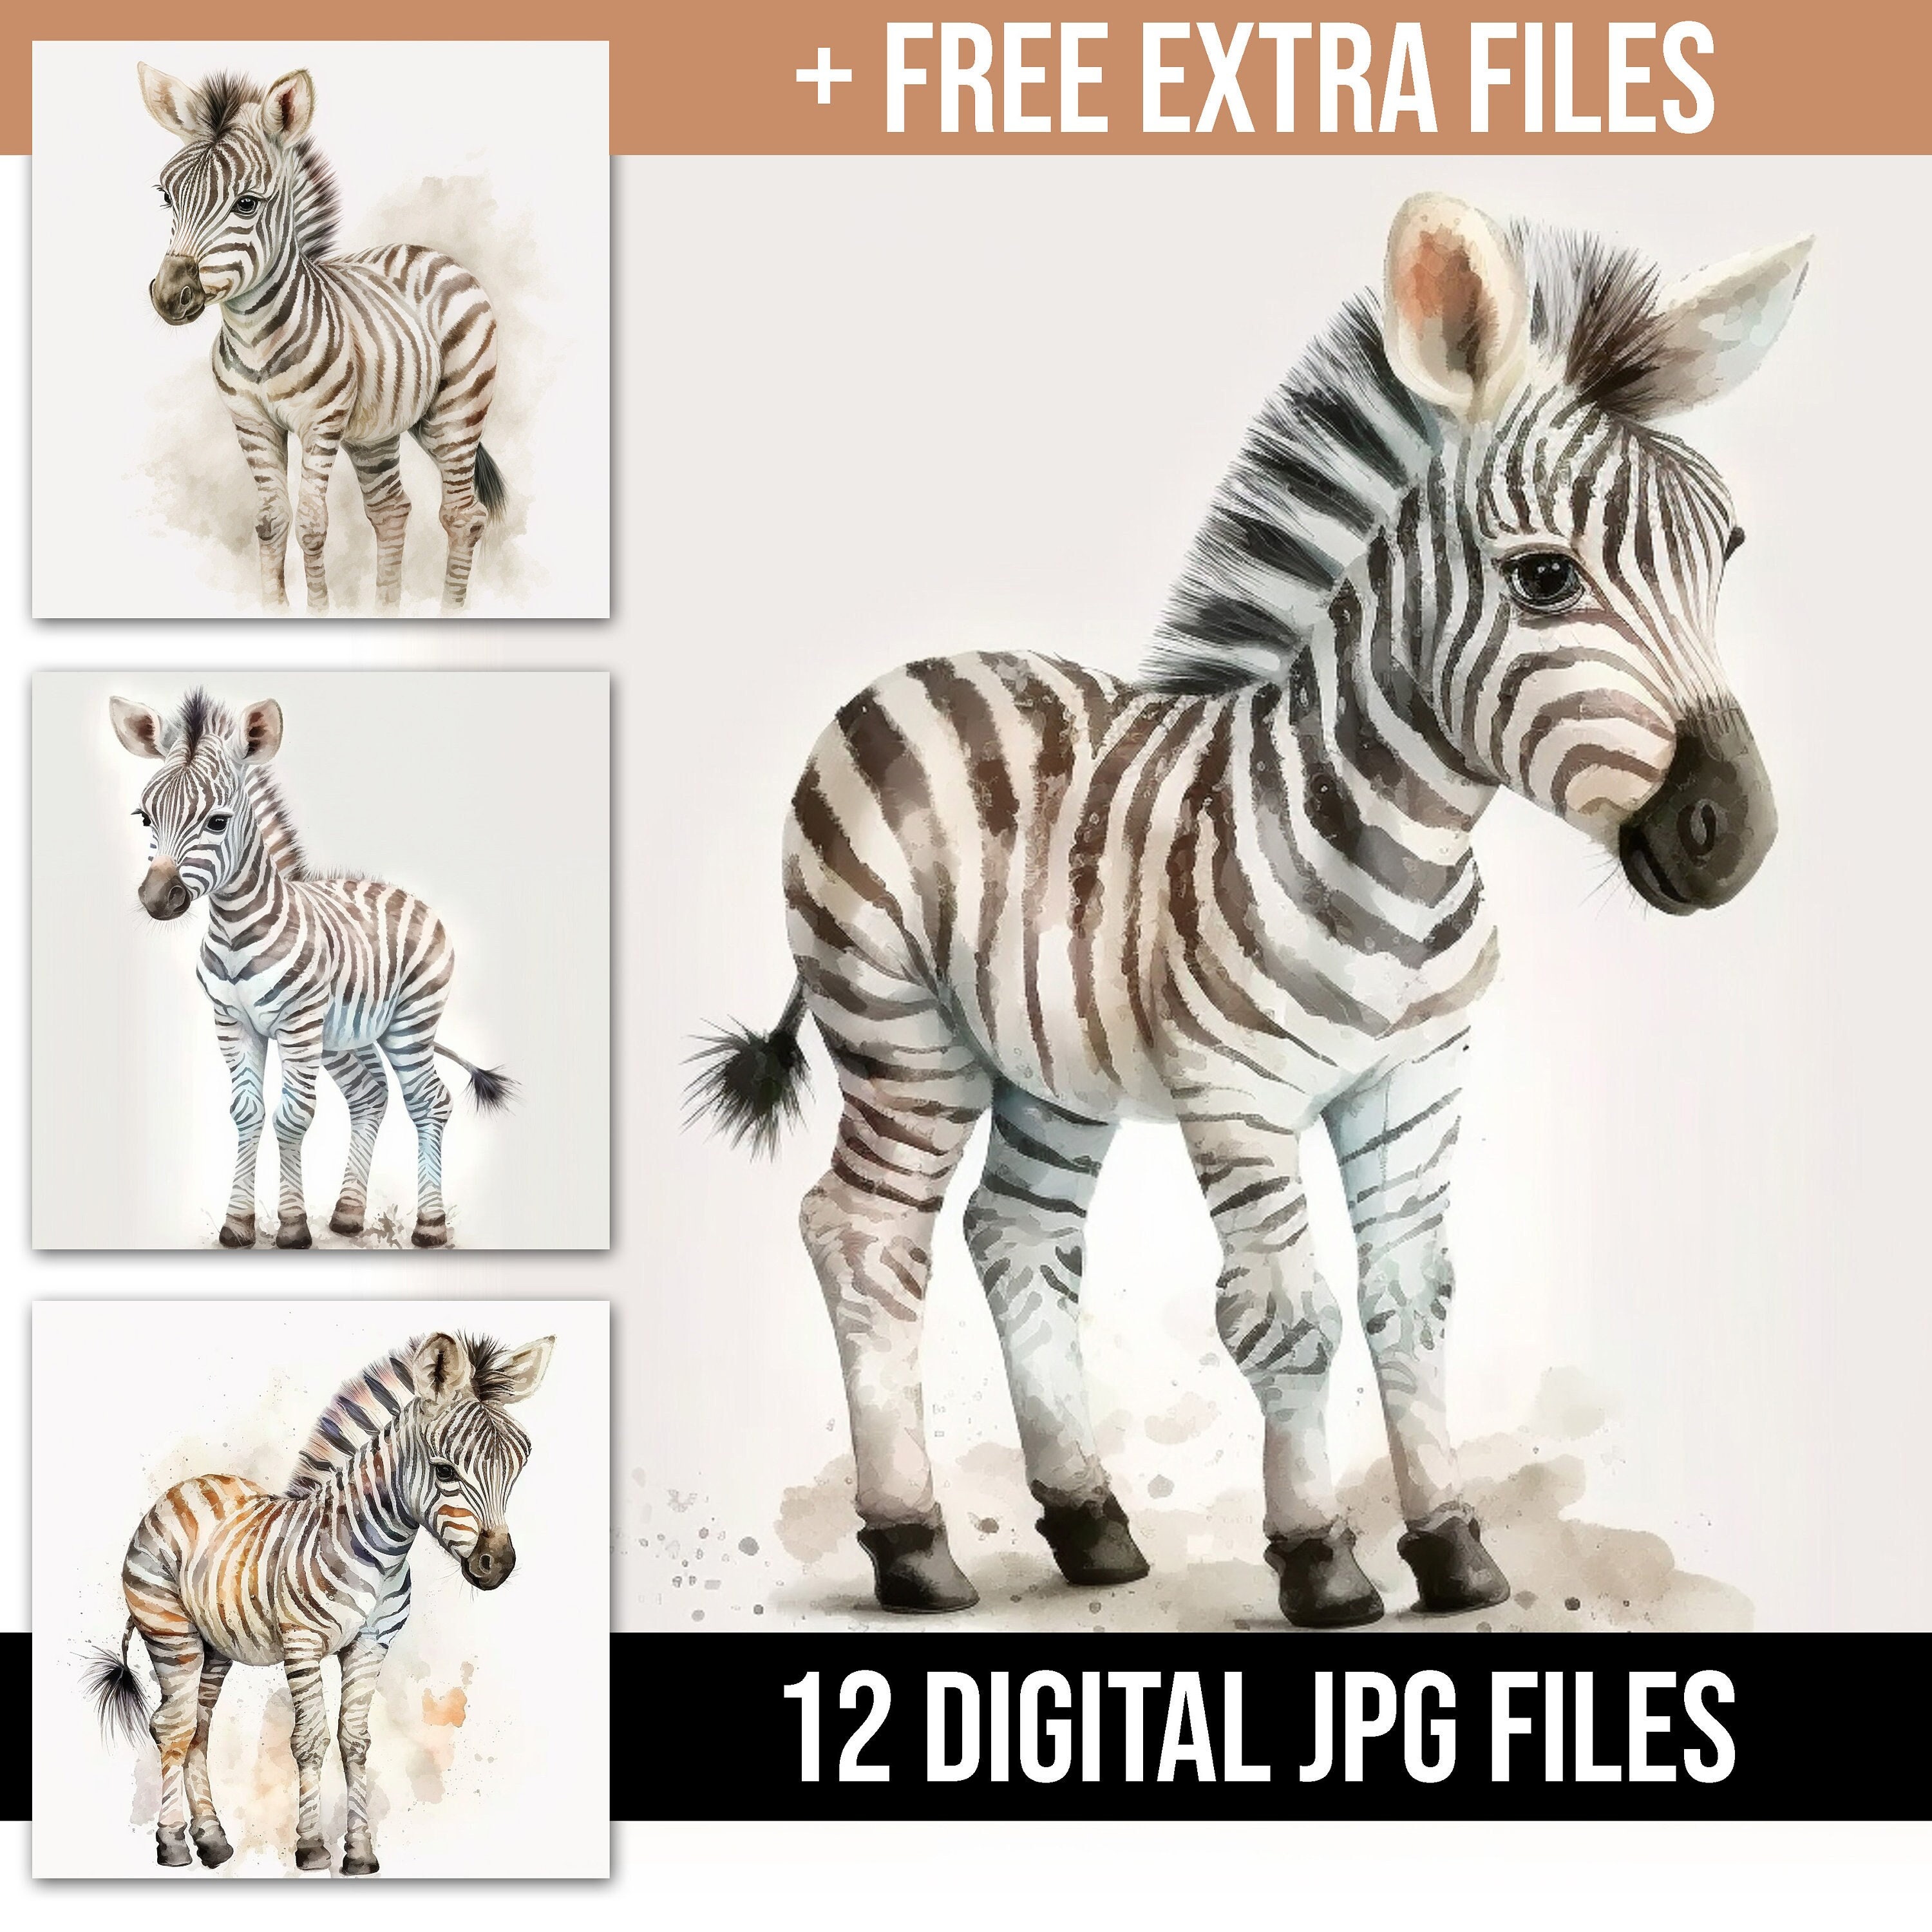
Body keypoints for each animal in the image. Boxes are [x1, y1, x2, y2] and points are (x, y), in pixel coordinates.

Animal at [84, 1330, 554, 1874]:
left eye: (518, 1467)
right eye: (445, 1472)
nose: (497, 1565)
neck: (380, 1550)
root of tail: (189, 1485)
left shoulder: (373, 1644)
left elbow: (355, 1740)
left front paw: (361, 1852)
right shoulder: (302, 1644)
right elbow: (309, 1740)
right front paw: (311, 1848)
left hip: (215, 1646)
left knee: (199, 1729)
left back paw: (213, 1840)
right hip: (170, 1633)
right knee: (173, 1728)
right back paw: (173, 1843)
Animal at [111, 688, 514, 1250]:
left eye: (218, 822)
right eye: (145, 817)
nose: (156, 900)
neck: (236, 930)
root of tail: (402, 892)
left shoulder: (297, 1026)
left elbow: (293, 1116)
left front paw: (293, 1226)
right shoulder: (232, 1023)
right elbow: (248, 1113)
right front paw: (238, 1225)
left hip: (409, 1023)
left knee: (429, 1101)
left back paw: (430, 1226)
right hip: (346, 1036)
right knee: (370, 1095)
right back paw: (347, 1215)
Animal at [139, 63, 505, 613]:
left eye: (247, 204)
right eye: (166, 196)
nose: (168, 297)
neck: (255, 339)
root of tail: (426, 251)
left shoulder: (321, 422)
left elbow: (312, 525)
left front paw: (318, 609)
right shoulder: (250, 422)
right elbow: (271, 522)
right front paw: (273, 607)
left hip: (456, 413)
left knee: (464, 515)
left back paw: (450, 608)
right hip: (378, 432)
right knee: (392, 510)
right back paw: (386, 609)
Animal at [689, 194, 1808, 1627]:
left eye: (1727, 551)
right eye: (1544, 578)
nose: (1737, 835)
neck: (1400, 844)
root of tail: (912, 672)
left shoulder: (1418, 1075)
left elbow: (1409, 1299)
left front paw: (1453, 1550)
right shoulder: (1241, 1094)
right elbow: (1288, 1318)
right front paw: (1320, 1560)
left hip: (1046, 1060)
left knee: (1019, 1234)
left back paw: (1089, 1524)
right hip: (900, 1029)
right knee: (865, 1235)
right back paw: (913, 1547)